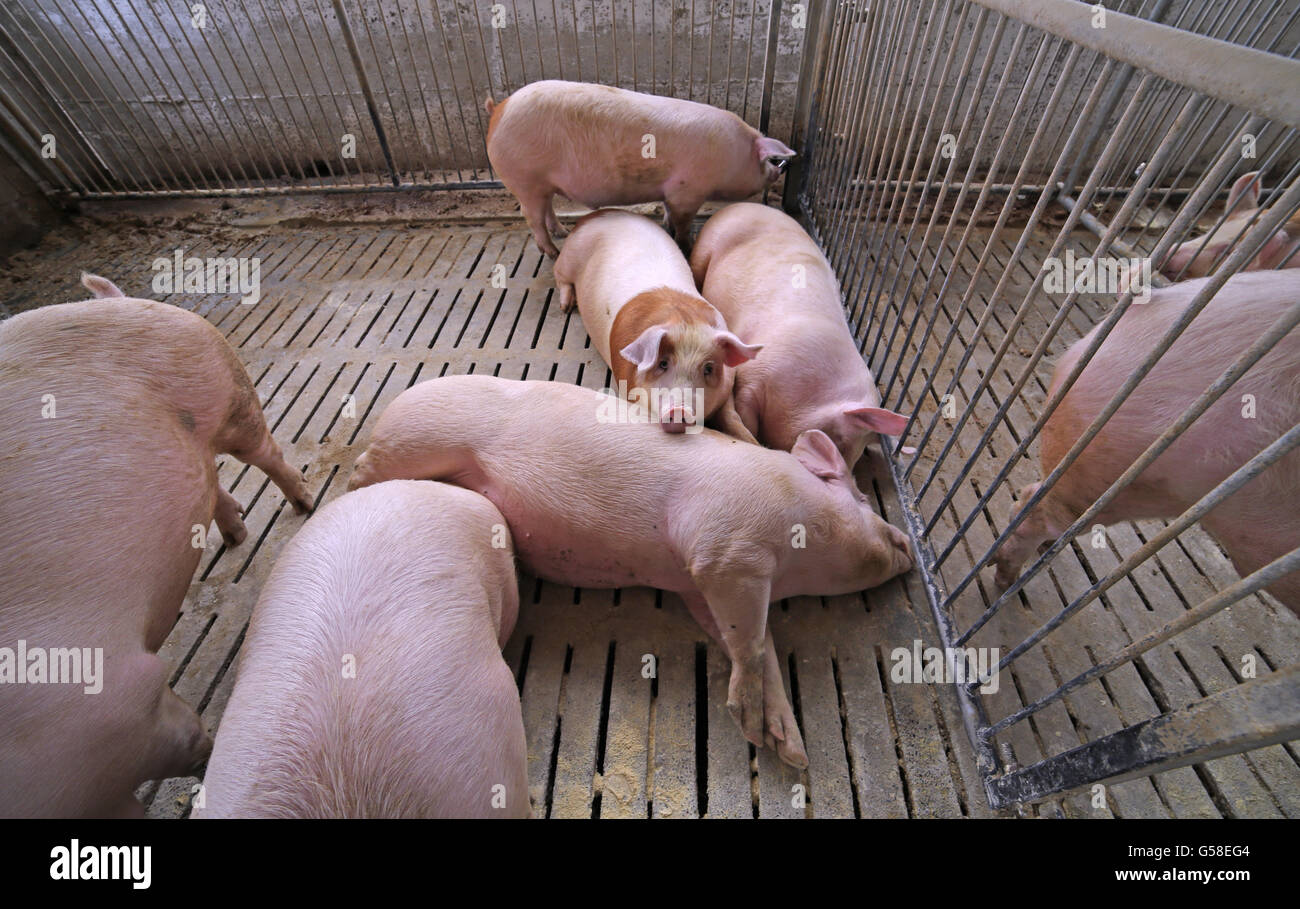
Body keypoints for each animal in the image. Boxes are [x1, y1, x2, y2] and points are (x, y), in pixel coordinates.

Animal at [0, 273, 312, 818]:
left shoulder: (100, 704)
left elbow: (174, 739)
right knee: (211, 482)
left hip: (226, 392)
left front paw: (207, 751)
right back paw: (235, 537)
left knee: (264, 452)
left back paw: (303, 504)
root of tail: (114, 302)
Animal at [346, 374, 915, 768]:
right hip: (419, 442)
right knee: (363, 472)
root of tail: (395, 406)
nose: (908, 545)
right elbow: (752, 642)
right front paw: (749, 724)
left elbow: (750, 642)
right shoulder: (728, 549)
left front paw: (789, 749)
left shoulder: (699, 586)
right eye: (863, 499)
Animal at [484, 80, 796, 257]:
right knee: (531, 217)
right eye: (767, 160)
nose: (780, 171)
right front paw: (684, 244)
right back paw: (552, 251)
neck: (733, 155)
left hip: (542, 184)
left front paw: (666, 224)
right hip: (525, 179)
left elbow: (668, 209)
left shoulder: (670, 189)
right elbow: (683, 221)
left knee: (547, 209)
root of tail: (499, 109)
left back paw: (561, 232)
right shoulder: (688, 190)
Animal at [554, 208, 760, 437]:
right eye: (663, 363)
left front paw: (751, 440)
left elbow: (733, 418)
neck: (683, 320)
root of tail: (595, 215)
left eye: (708, 368)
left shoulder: (727, 388)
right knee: (559, 275)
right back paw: (566, 306)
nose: (679, 410)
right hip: (568, 258)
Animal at [690, 202, 909, 467]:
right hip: (703, 250)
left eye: (859, 454)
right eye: (841, 440)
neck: (810, 392)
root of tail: (738, 206)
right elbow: (746, 416)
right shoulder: (754, 376)